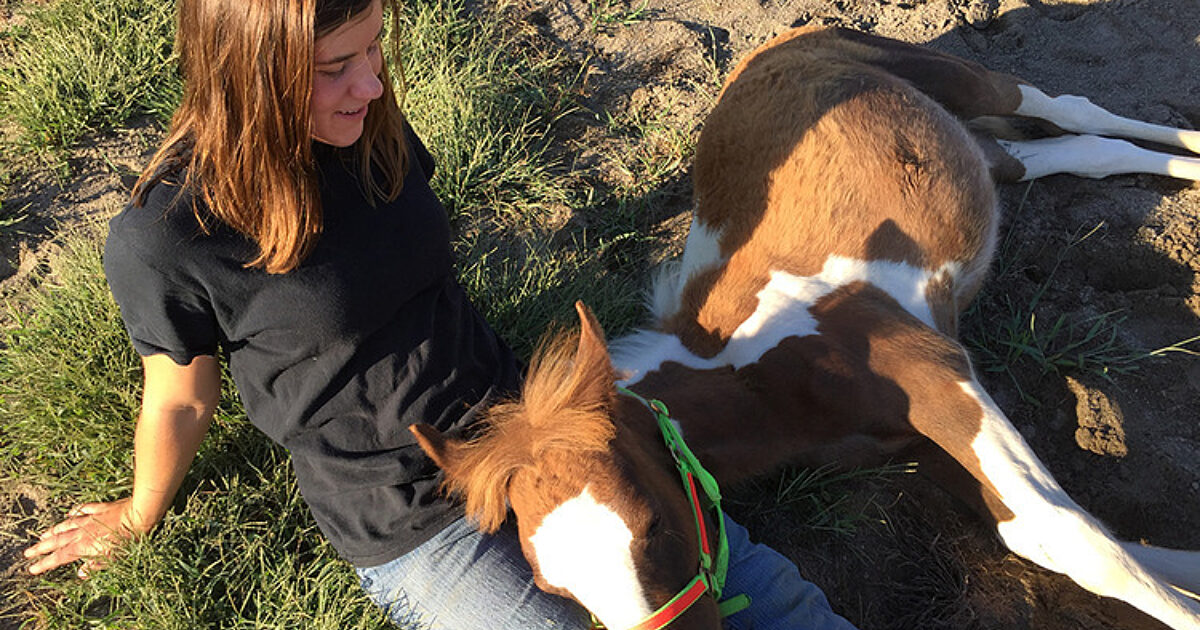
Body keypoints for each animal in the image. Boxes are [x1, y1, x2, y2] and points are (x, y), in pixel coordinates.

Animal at [410, 26, 1200, 630]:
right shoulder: (910, 446)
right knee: (1067, 155)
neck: (759, 371)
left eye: (652, 523)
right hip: (983, 156)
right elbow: (1049, 537)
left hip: (956, 79)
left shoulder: (939, 375)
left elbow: (1080, 542)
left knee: (1066, 109)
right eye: (551, 586)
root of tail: (782, 40)